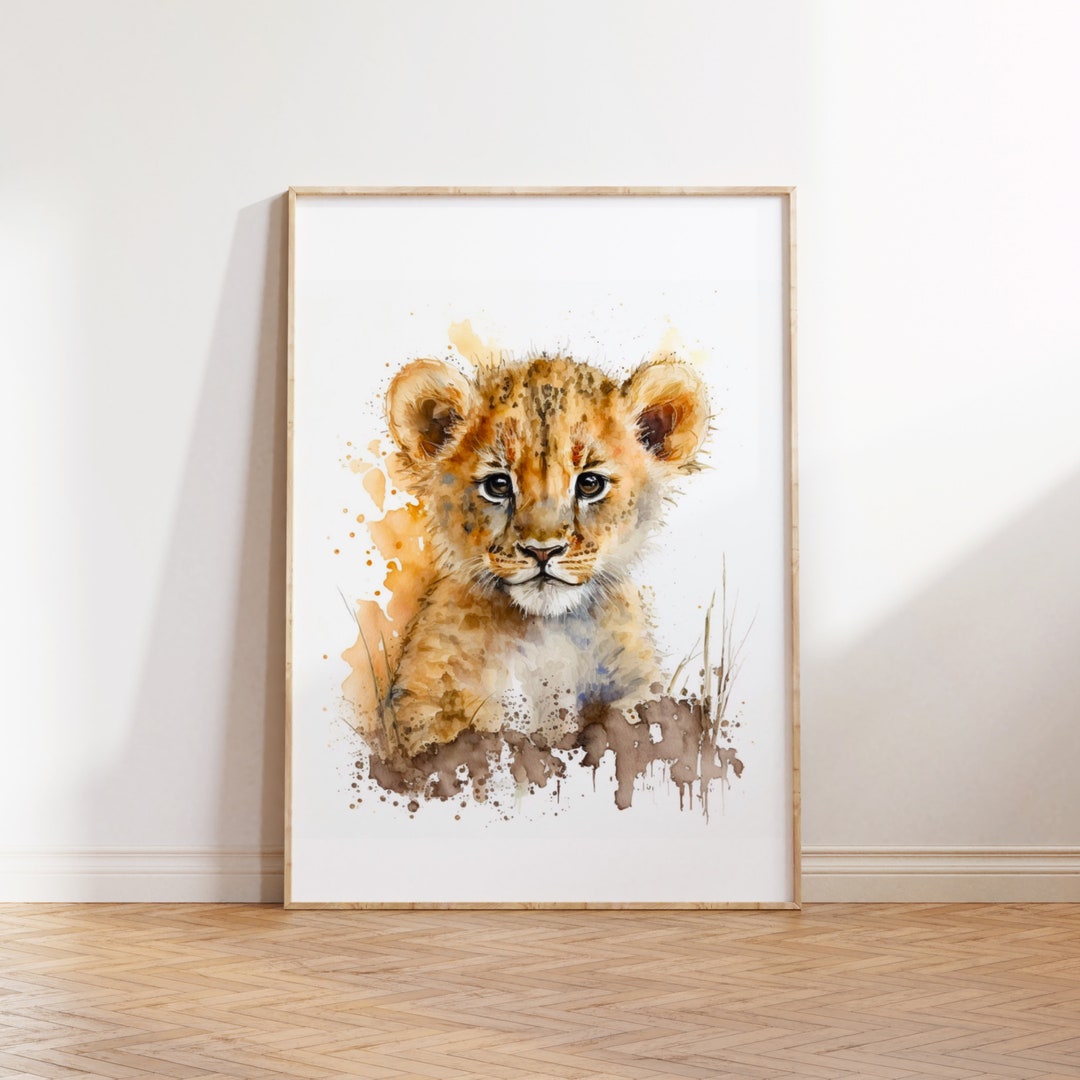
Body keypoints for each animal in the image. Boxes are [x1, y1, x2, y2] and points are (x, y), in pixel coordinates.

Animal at [379, 353, 708, 759]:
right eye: (498, 484)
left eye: (590, 483)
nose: (542, 550)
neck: (546, 635)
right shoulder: (429, 703)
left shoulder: (637, 691)